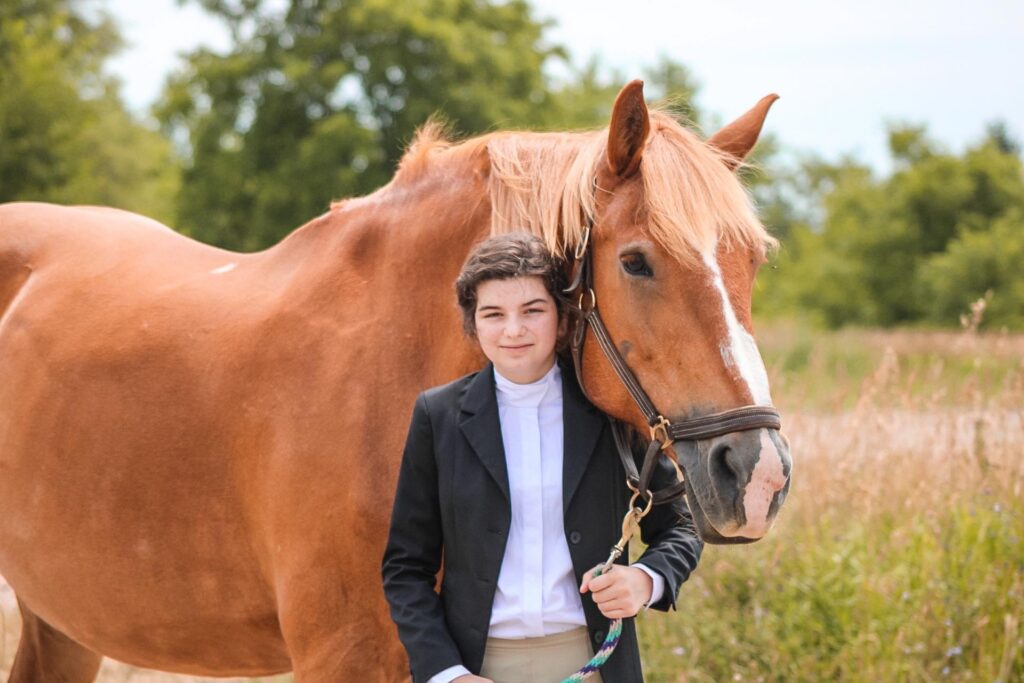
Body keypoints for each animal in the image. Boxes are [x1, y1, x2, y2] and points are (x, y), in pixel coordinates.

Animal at [0, 80, 791, 681]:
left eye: (754, 260)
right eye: (635, 261)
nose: (759, 477)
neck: (387, 374)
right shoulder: (342, 657)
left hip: (61, 619)